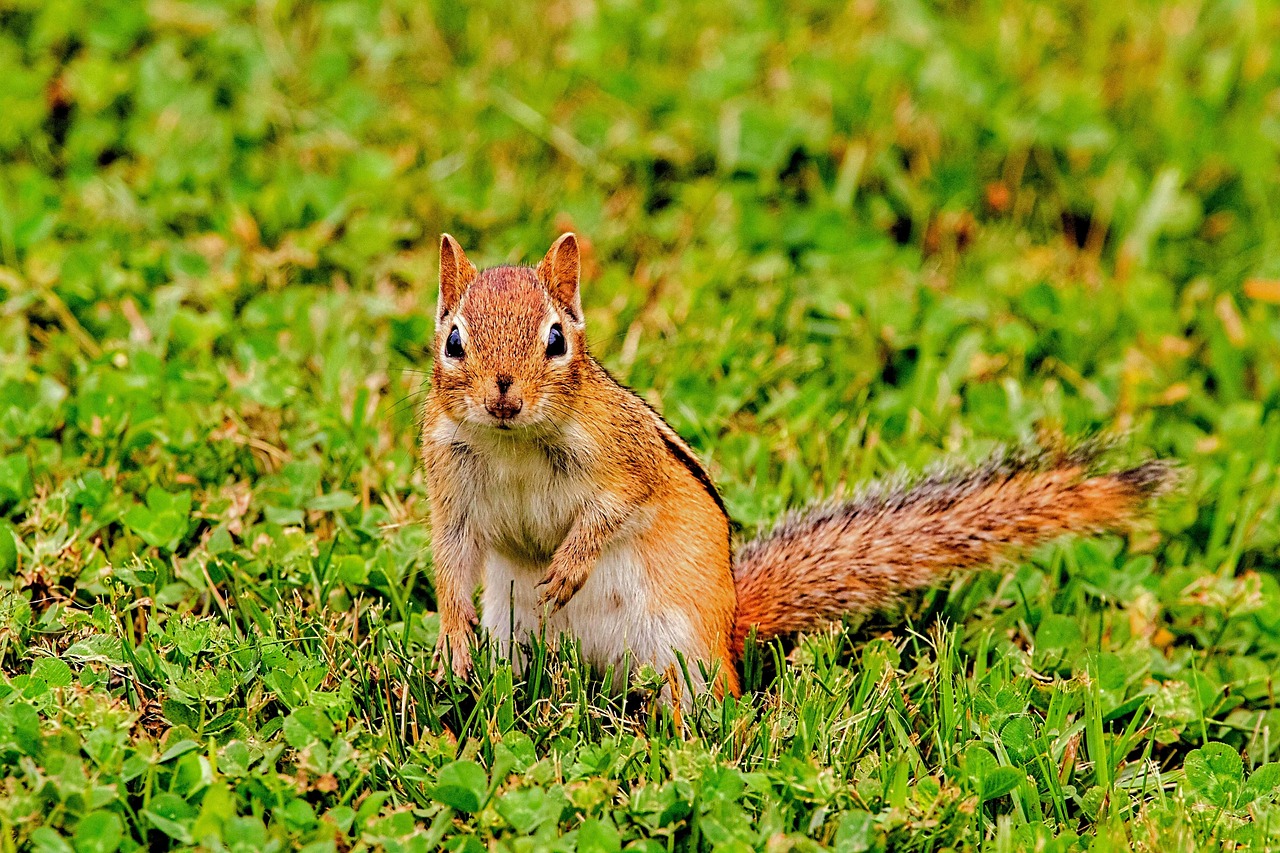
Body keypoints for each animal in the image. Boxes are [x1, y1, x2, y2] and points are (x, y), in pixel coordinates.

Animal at [421, 232, 1176, 704]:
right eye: (453, 340)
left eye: (556, 338)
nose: (504, 393)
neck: (514, 440)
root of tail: (729, 621)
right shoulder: (448, 480)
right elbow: (452, 556)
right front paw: (452, 644)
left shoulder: (624, 455)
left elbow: (617, 506)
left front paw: (570, 564)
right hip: (516, 631)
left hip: (680, 647)